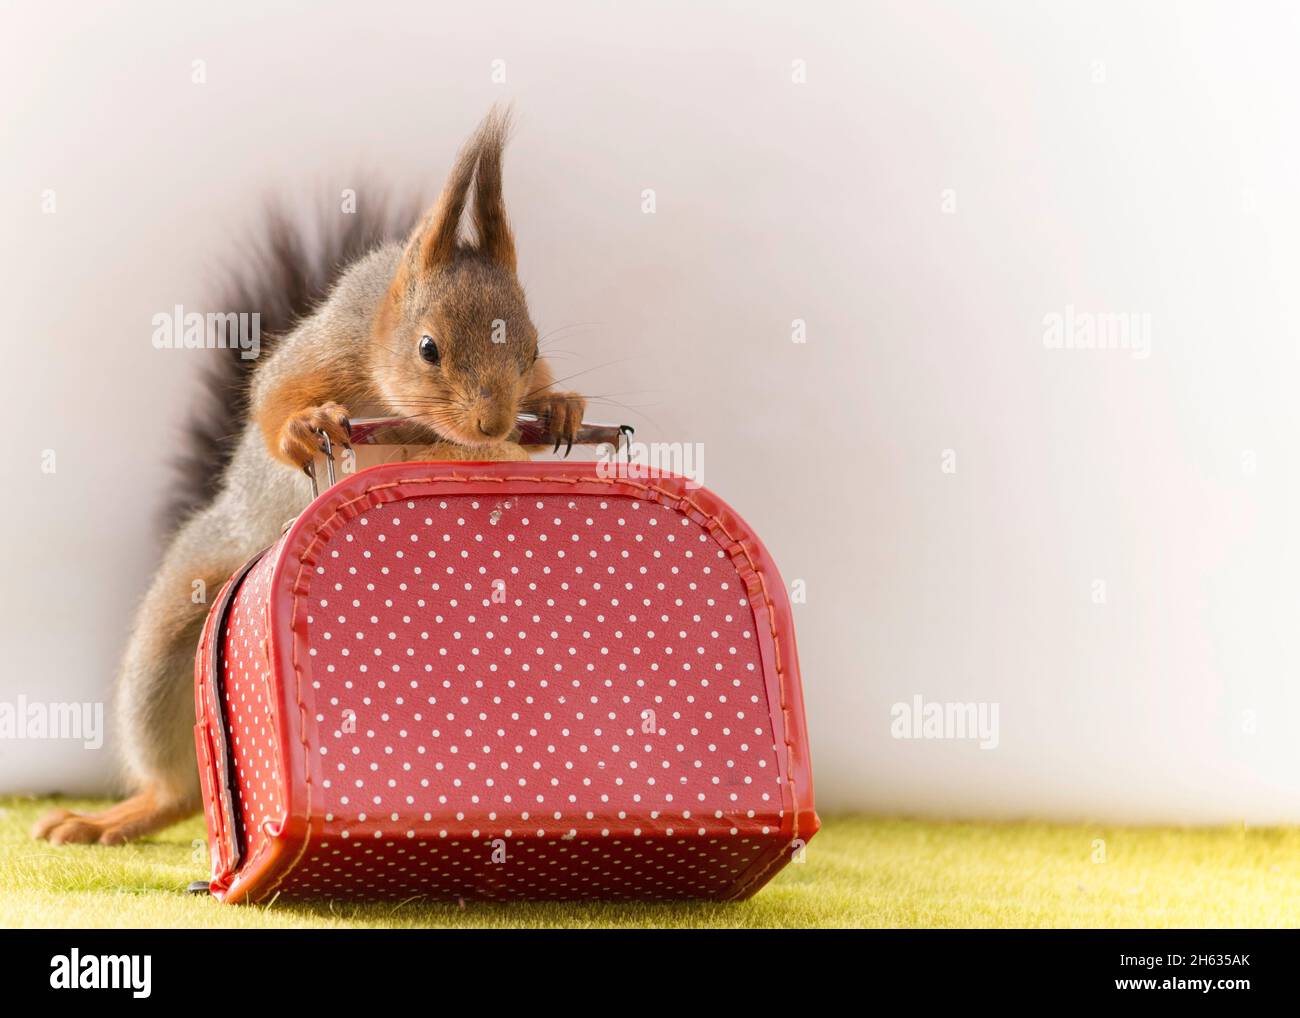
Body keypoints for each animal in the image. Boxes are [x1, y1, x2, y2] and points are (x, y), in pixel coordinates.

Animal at [32, 108, 586, 846]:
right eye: (428, 349)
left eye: (531, 349)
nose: (495, 423)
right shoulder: (329, 349)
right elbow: (271, 396)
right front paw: (301, 427)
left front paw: (560, 406)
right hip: (170, 641)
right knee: (178, 783)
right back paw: (113, 817)